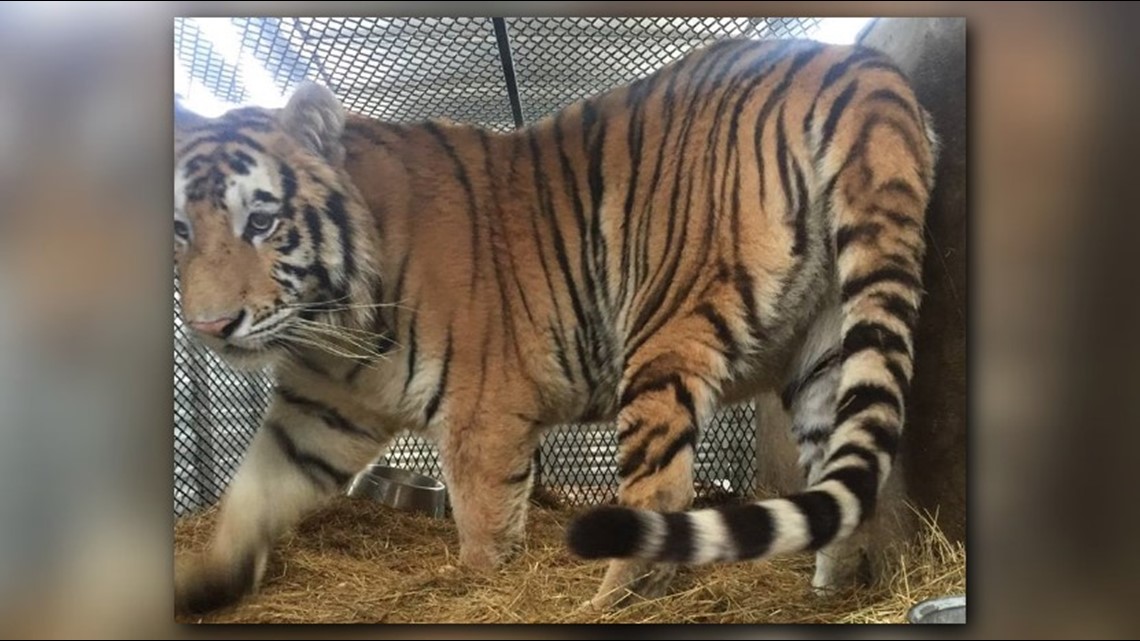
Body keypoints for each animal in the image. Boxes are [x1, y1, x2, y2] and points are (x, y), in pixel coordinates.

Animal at [173, 37, 938, 616]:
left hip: (662, 324)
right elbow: (253, 492)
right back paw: (827, 593)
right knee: (844, 478)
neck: (331, 324)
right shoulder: (318, 408)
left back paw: (604, 605)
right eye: (181, 227)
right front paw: (207, 582)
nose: (209, 325)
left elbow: (484, 527)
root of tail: (850, 63)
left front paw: (477, 590)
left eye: (261, 220)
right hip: (826, 344)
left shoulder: (481, 414)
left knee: (663, 491)